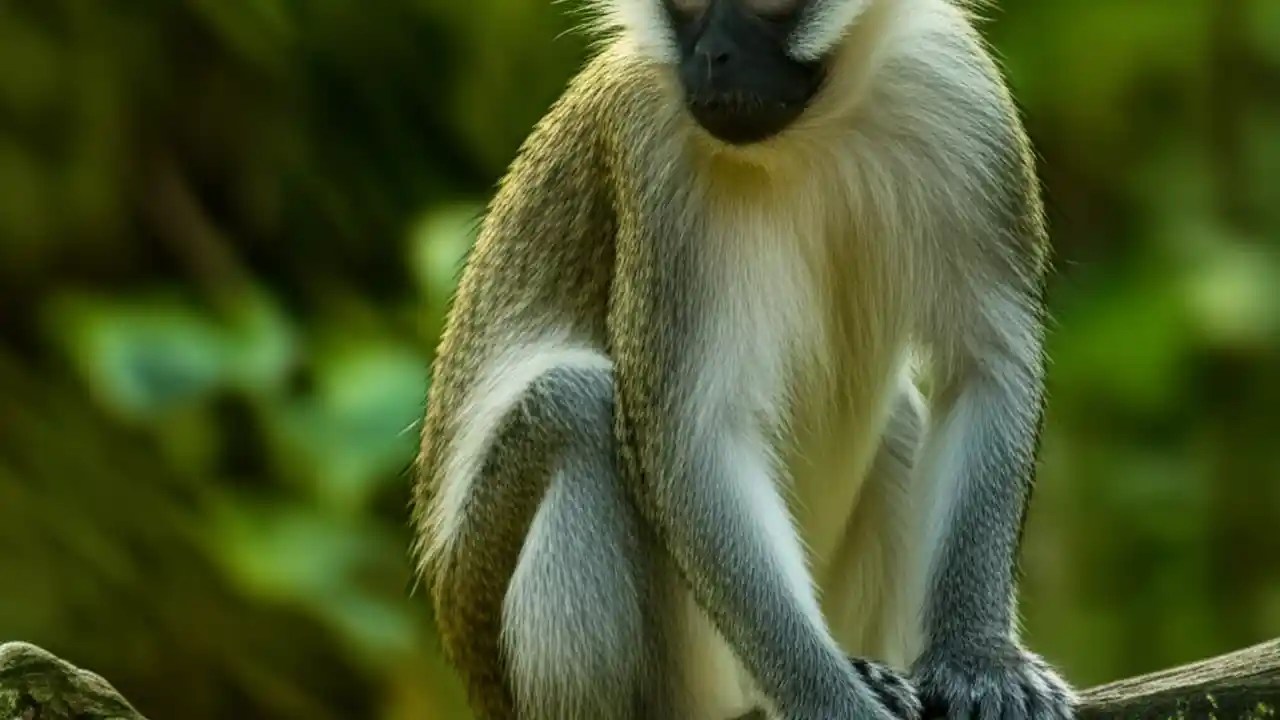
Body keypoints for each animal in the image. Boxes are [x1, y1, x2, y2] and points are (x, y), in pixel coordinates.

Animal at [412, 0, 1079, 718]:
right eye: (686, 7)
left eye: (768, 6)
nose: (712, 58)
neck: (810, 134)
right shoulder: (655, 162)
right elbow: (693, 447)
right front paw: (831, 702)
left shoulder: (963, 102)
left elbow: (984, 368)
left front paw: (978, 658)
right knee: (573, 407)